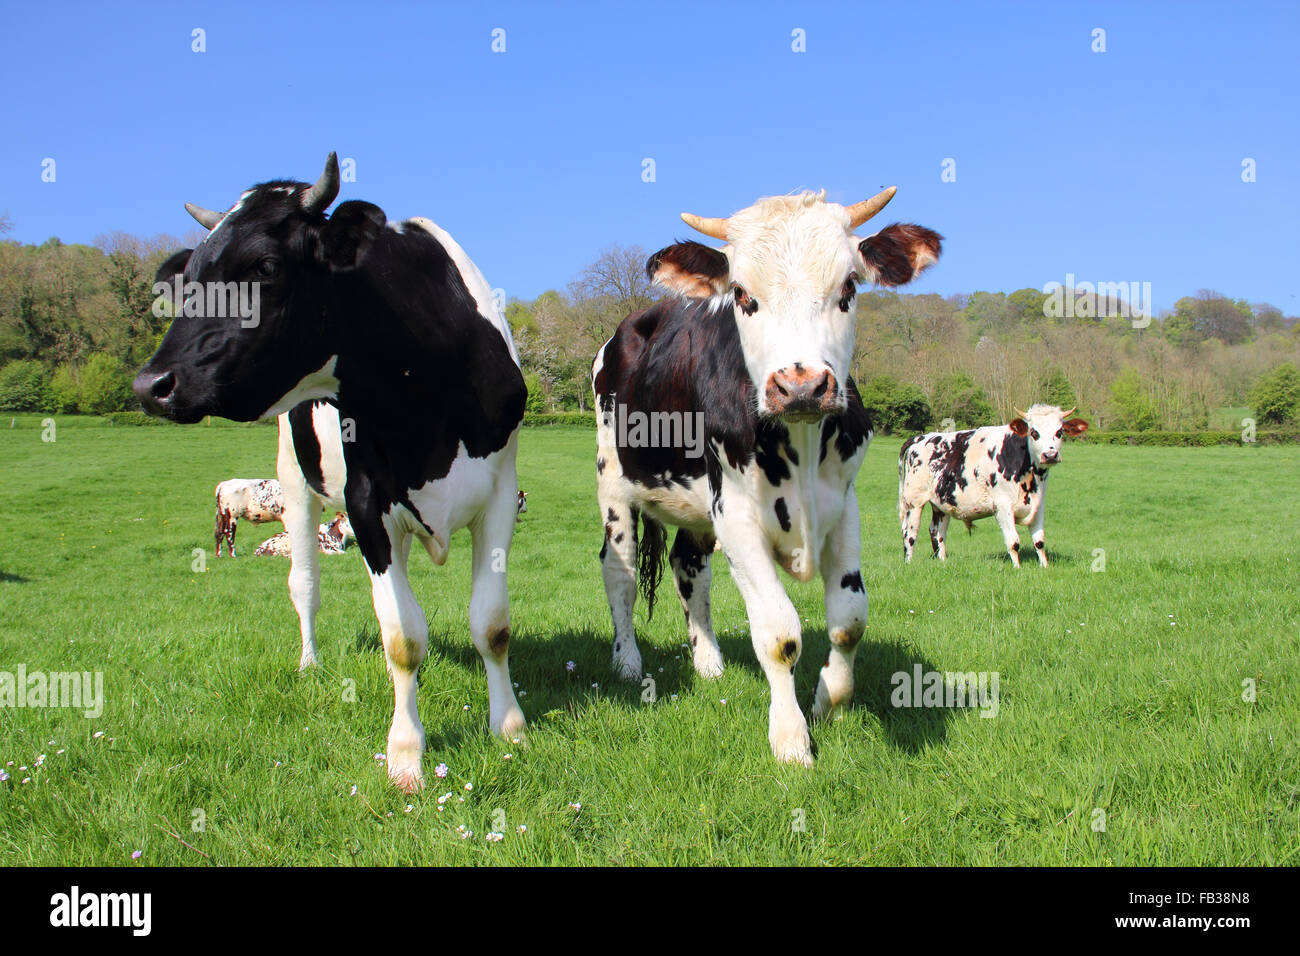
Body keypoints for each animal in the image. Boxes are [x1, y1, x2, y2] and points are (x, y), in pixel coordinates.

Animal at [133, 153, 528, 791]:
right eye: (187, 278)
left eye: (265, 266)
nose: (150, 385)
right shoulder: (367, 505)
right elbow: (402, 638)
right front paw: (405, 755)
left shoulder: (497, 497)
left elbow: (491, 624)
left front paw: (509, 728)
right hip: (295, 487)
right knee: (306, 586)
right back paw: (309, 662)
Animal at [593, 187, 943, 766]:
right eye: (741, 293)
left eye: (849, 286)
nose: (801, 385)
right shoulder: (735, 517)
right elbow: (779, 635)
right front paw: (791, 738)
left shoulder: (843, 506)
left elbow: (850, 620)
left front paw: (827, 700)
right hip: (613, 483)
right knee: (618, 571)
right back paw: (626, 661)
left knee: (688, 568)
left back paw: (709, 662)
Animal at [898, 404, 1089, 567]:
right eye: (1034, 432)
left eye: (1059, 432)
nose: (1050, 455)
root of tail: (922, 437)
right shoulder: (1002, 506)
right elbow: (1013, 542)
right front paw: (1017, 569)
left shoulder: (1038, 504)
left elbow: (1039, 542)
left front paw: (1044, 567)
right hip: (913, 502)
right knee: (909, 534)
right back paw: (909, 563)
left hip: (941, 503)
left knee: (937, 533)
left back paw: (943, 562)